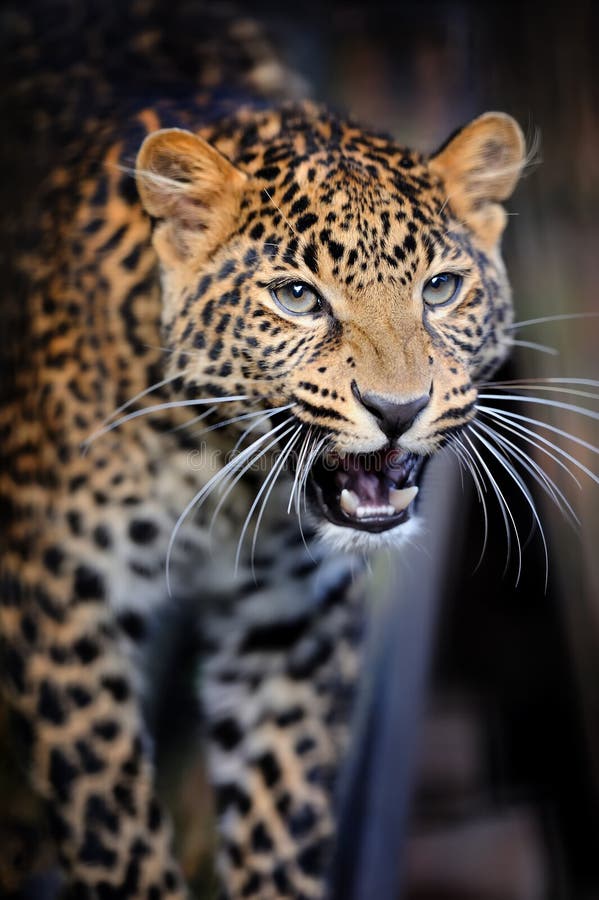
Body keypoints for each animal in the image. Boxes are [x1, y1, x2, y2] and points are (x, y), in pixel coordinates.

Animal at [0, 2, 526, 898]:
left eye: (439, 289)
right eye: (296, 297)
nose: (397, 409)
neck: (220, 476)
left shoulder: (293, 624)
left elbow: (283, 819)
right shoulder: (59, 598)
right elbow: (113, 824)